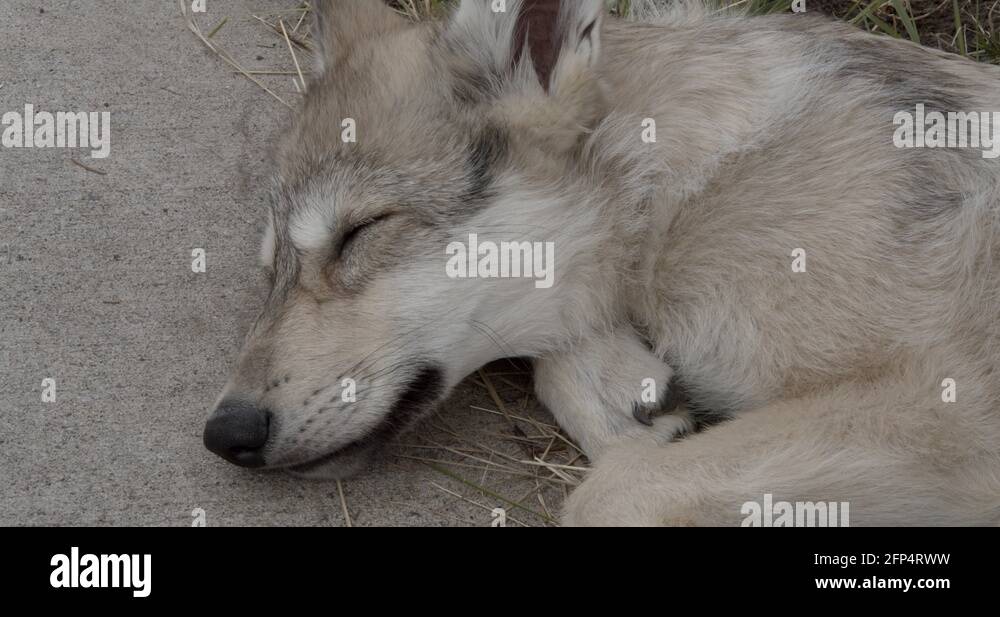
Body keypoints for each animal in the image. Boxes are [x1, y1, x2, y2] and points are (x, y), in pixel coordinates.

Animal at [204, 0, 1000, 526]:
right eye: (271, 269)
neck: (685, 182)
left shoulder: (941, 402)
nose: (224, 434)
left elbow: (606, 494)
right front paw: (628, 393)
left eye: (360, 231)